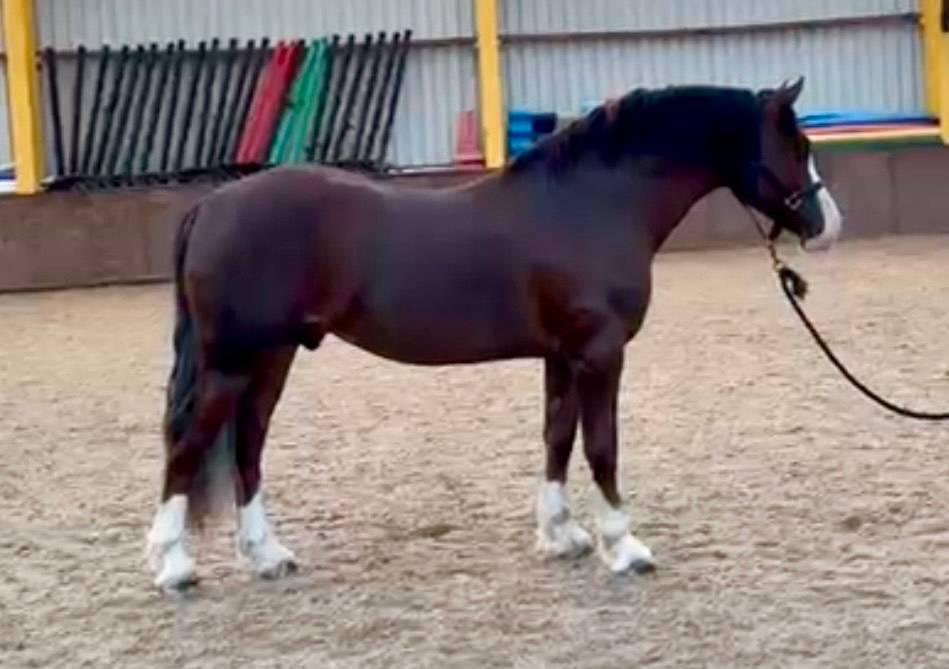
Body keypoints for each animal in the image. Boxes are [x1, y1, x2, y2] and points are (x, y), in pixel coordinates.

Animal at [145, 77, 842, 592]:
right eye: (796, 146)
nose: (827, 225)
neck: (590, 204)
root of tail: (211, 205)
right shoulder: (600, 353)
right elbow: (602, 447)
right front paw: (624, 547)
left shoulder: (563, 356)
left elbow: (557, 437)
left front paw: (562, 537)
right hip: (232, 362)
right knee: (189, 446)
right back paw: (174, 565)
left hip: (273, 357)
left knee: (247, 446)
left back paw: (267, 556)